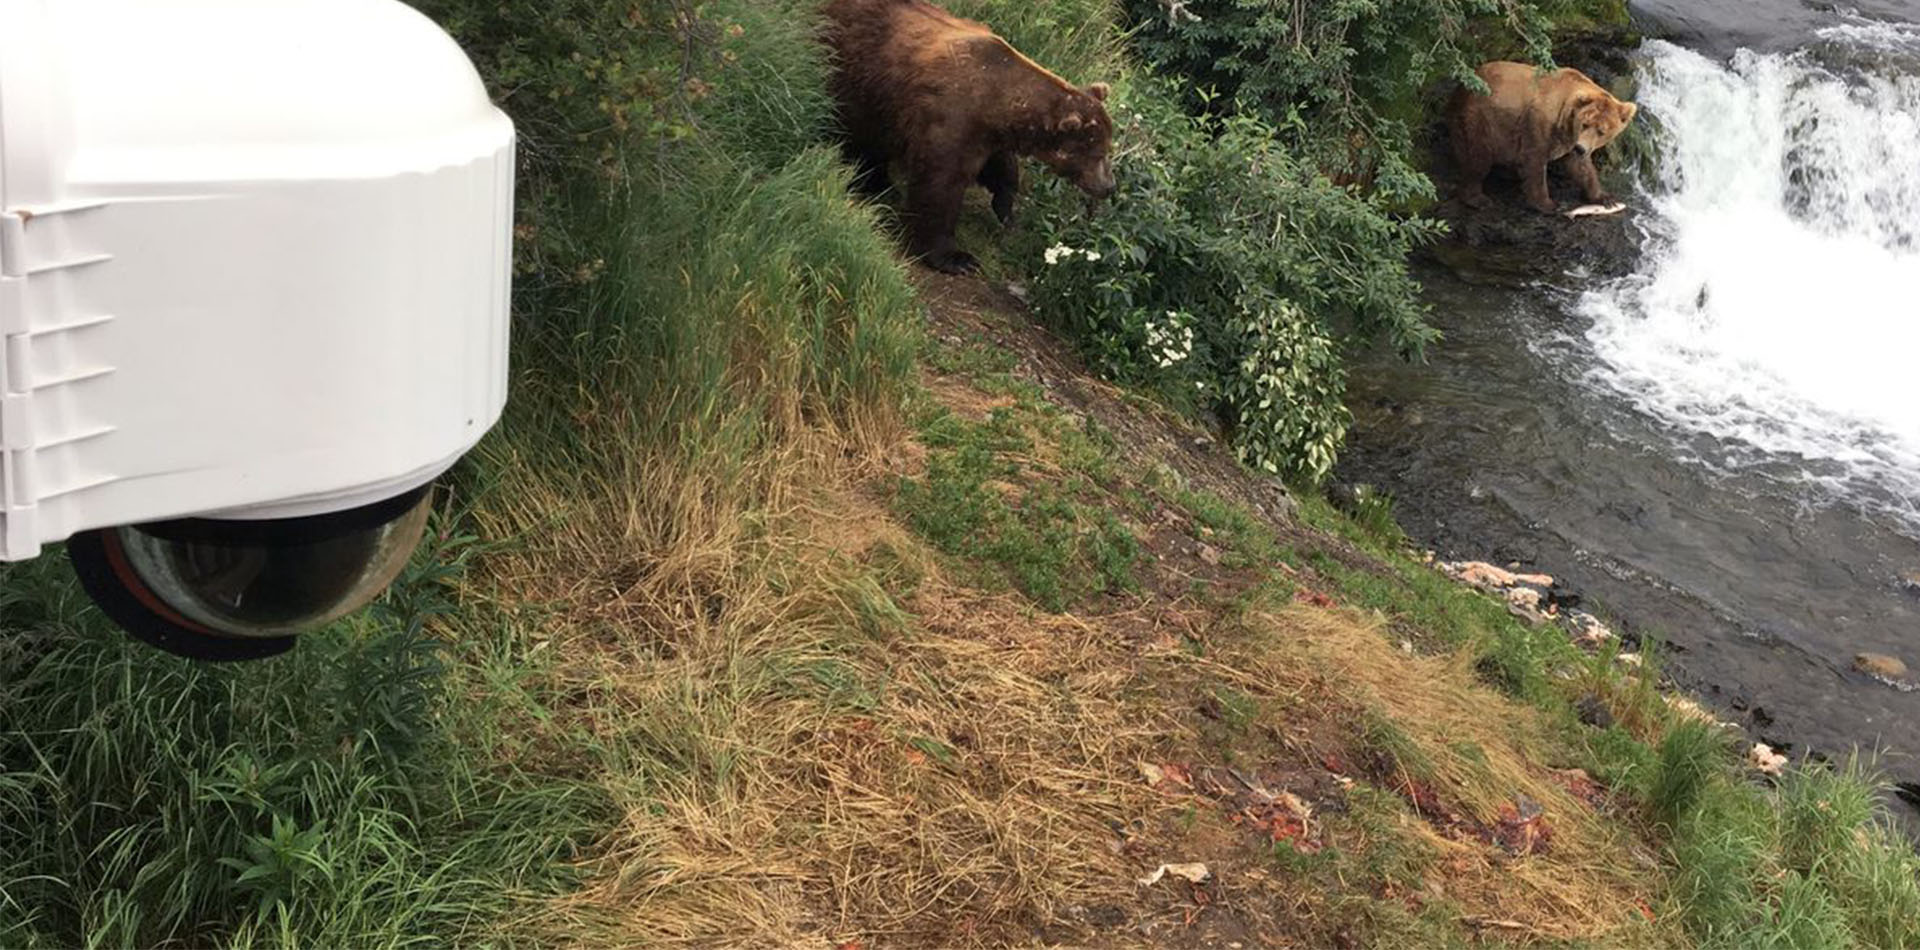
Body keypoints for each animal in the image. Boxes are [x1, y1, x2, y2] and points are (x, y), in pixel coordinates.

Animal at [821, 0, 1116, 274]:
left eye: (1107, 149)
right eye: (1098, 153)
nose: (1109, 186)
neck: (998, 102)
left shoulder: (987, 135)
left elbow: (1002, 168)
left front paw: (1006, 209)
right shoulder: (950, 118)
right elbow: (940, 185)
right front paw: (957, 258)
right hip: (854, 75)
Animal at [1447, 61, 1639, 214]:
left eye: (1601, 131)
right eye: (1585, 124)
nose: (1581, 148)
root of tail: (1459, 89)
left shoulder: (1569, 140)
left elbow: (1581, 168)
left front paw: (1605, 197)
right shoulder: (1538, 123)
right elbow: (1534, 162)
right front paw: (1549, 204)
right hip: (1481, 119)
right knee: (1478, 158)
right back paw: (1478, 198)